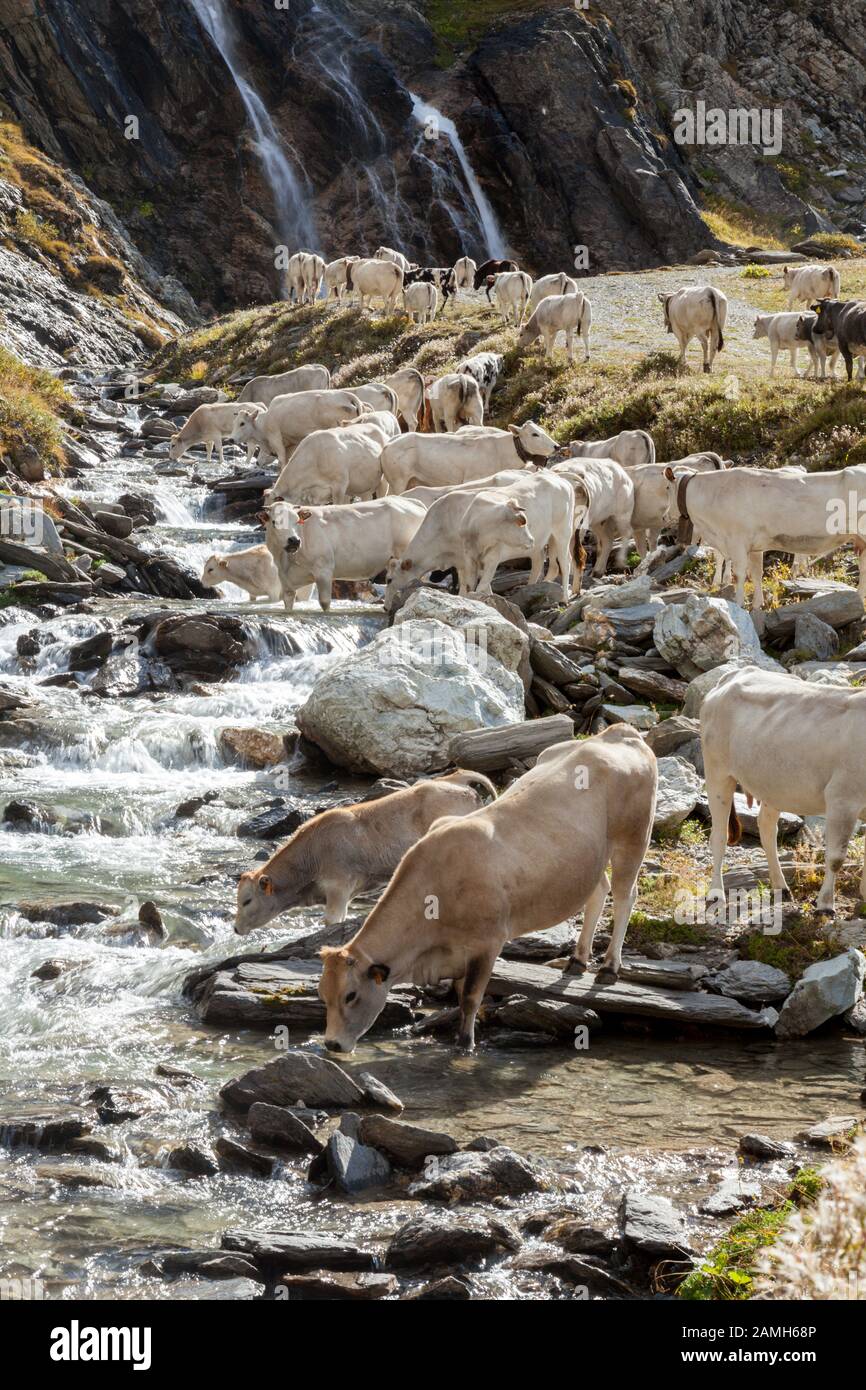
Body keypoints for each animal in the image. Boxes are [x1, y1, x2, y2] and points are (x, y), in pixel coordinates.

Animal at [231, 388, 367, 468]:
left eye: (242, 423)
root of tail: (346, 395)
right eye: (234, 423)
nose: (231, 439)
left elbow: (282, 461)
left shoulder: (276, 439)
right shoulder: (291, 444)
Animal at [318, 726, 658, 1052]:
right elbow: (459, 994)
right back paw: (578, 960)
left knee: (625, 895)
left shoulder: (488, 943)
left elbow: (470, 996)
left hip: (633, 838)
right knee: (598, 890)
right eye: (323, 994)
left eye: (350, 995)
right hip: (587, 856)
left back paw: (609, 967)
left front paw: (465, 1044)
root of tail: (617, 732)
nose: (332, 1044)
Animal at [551, 457, 634, 586]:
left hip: (622, 513)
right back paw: (597, 571)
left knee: (626, 533)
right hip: (599, 522)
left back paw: (620, 562)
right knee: (607, 540)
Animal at [663, 463, 866, 611]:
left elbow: (739, 575)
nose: (664, 517)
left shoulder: (736, 541)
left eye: (666, 487)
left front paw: (739, 605)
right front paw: (757, 604)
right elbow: (756, 573)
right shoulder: (755, 546)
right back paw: (858, 598)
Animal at [702, 666, 866, 917]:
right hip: (717, 772)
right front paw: (825, 905)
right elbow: (836, 858)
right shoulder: (842, 799)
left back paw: (780, 886)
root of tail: (734, 674)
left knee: (767, 828)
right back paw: (716, 893)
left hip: (772, 784)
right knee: (719, 836)